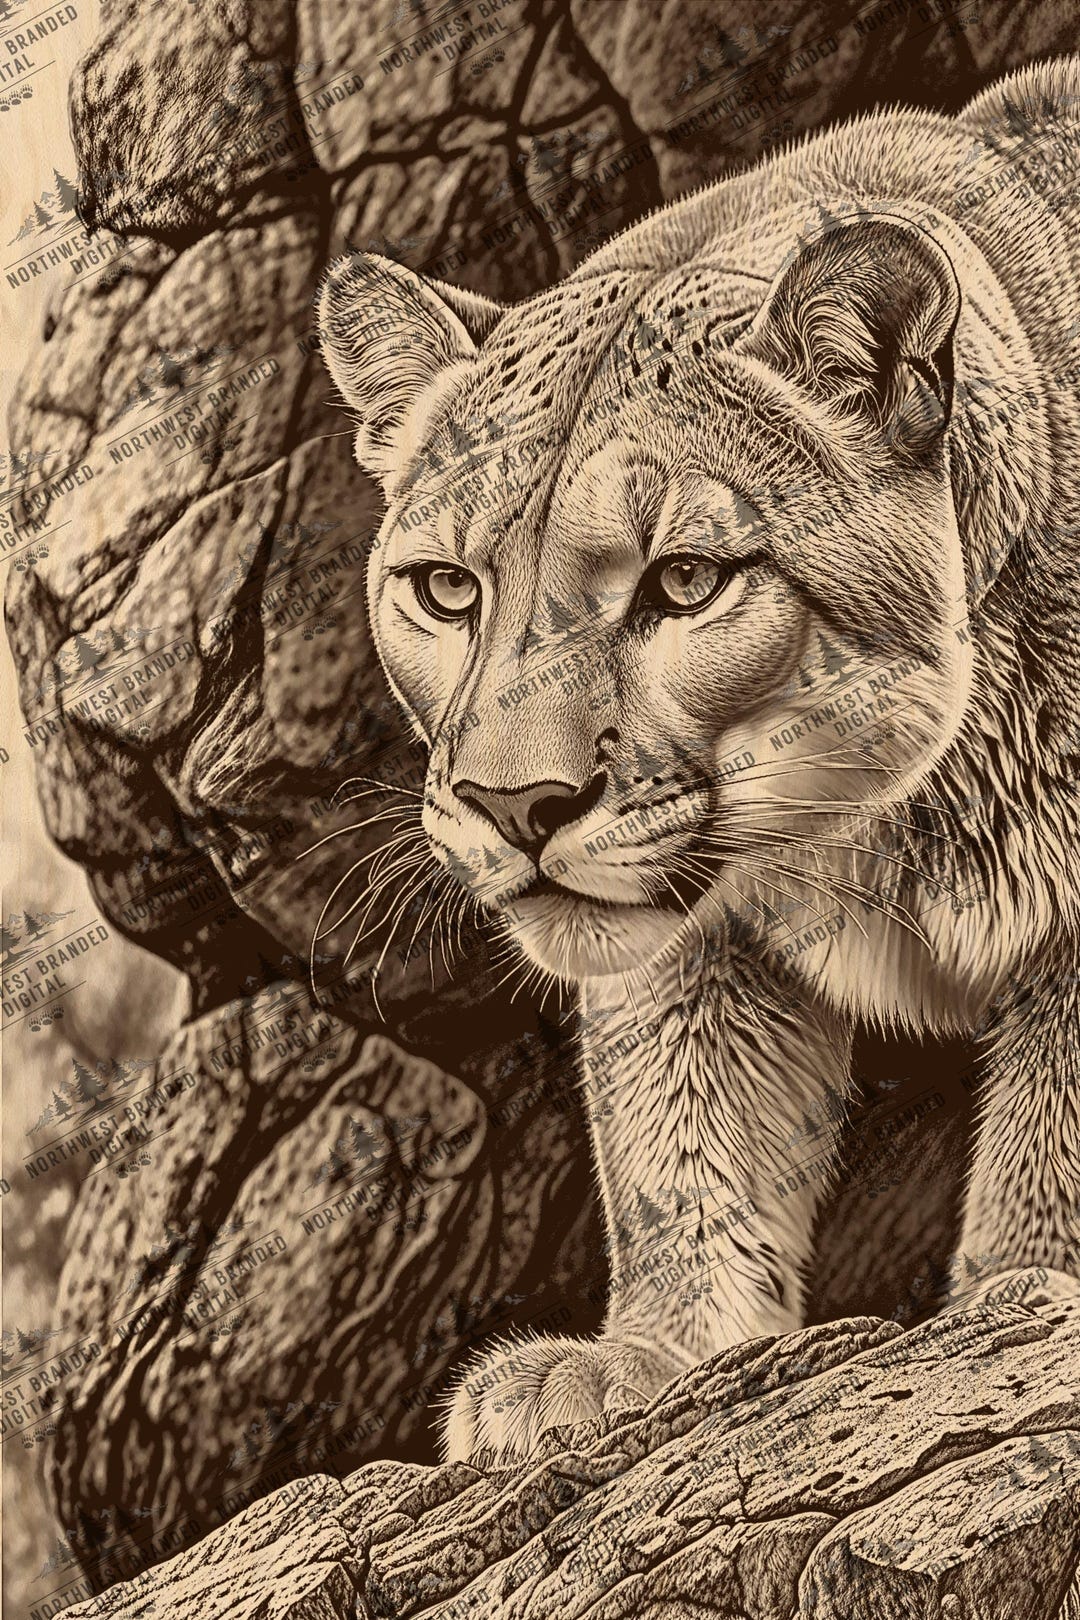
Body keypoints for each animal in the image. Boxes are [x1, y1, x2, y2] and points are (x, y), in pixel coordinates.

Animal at [319, 57, 1080, 1461]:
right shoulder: (694, 945)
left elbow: (1058, 1107)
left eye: (683, 582)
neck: (868, 827)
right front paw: (640, 1361)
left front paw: (1021, 1291)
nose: (516, 803)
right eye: (446, 589)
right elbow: (683, 1126)